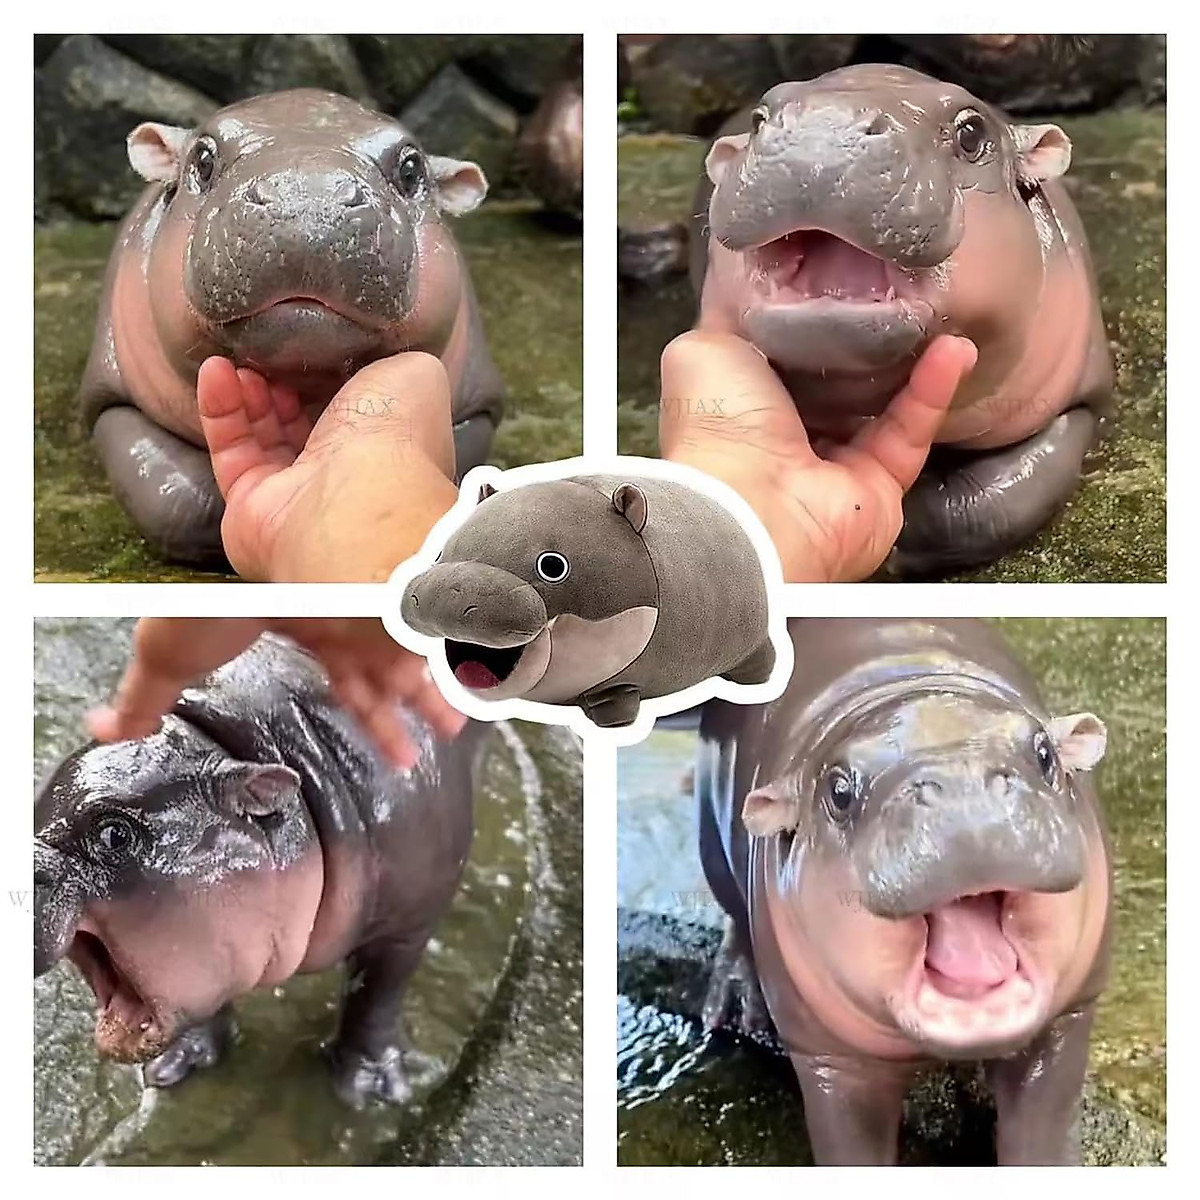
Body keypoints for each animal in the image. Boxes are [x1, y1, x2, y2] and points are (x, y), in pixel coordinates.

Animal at [34, 634, 485, 1108]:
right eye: (37, 802)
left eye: (114, 834)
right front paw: (176, 1064)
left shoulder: (408, 925)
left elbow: (375, 997)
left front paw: (369, 1092)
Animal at [81, 88, 505, 565]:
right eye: (203, 159)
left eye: (412, 169)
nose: (308, 198)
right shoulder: (110, 399)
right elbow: (175, 499)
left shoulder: (478, 408)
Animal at [697, 618, 1111, 1164]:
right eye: (838, 791)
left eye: (1045, 753)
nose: (961, 788)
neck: (906, 688)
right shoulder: (830, 1060)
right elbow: (850, 1147)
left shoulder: (1067, 1017)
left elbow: (1043, 1133)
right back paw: (732, 1006)